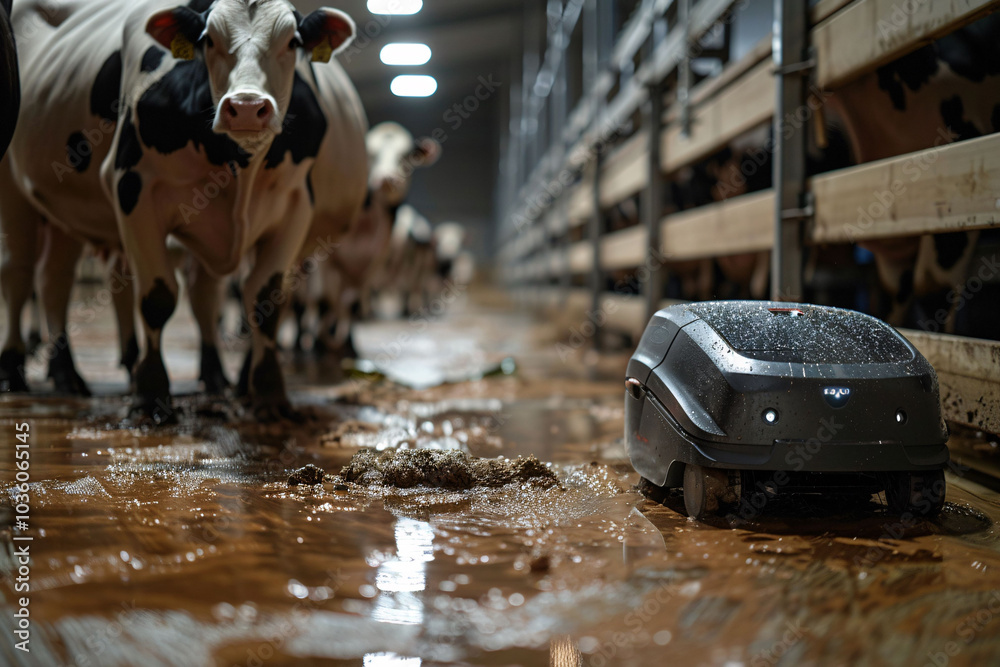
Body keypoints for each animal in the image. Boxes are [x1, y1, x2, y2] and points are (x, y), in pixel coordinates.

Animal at [0, 0, 368, 423]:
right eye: (208, 40)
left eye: (292, 42)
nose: (246, 108)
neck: (236, 163)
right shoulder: (134, 189)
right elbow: (157, 297)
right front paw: (150, 395)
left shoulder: (295, 204)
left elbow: (265, 301)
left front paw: (269, 393)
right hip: (13, 190)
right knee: (19, 273)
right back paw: (14, 372)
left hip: (62, 211)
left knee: (55, 280)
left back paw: (69, 375)